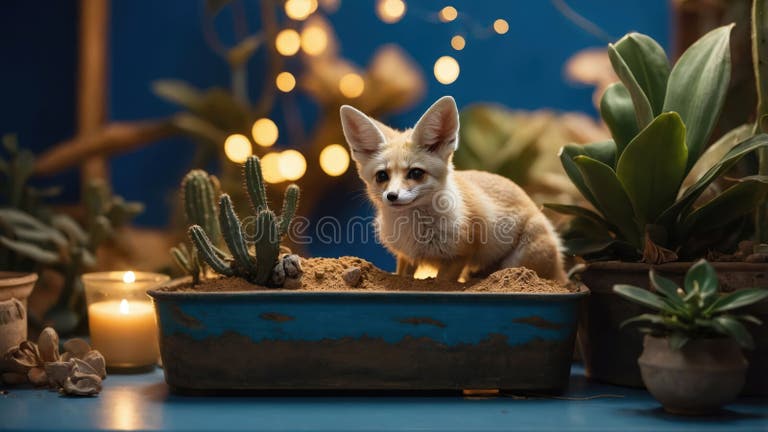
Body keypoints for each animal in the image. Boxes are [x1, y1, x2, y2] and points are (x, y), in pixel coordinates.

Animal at [340, 96, 566, 282]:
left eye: (415, 173)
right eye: (382, 176)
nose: (392, 196)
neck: (415, 230)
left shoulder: (460, 255)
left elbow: (442, 282)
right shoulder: (406, 255)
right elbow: (402, 276)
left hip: (517, 260)